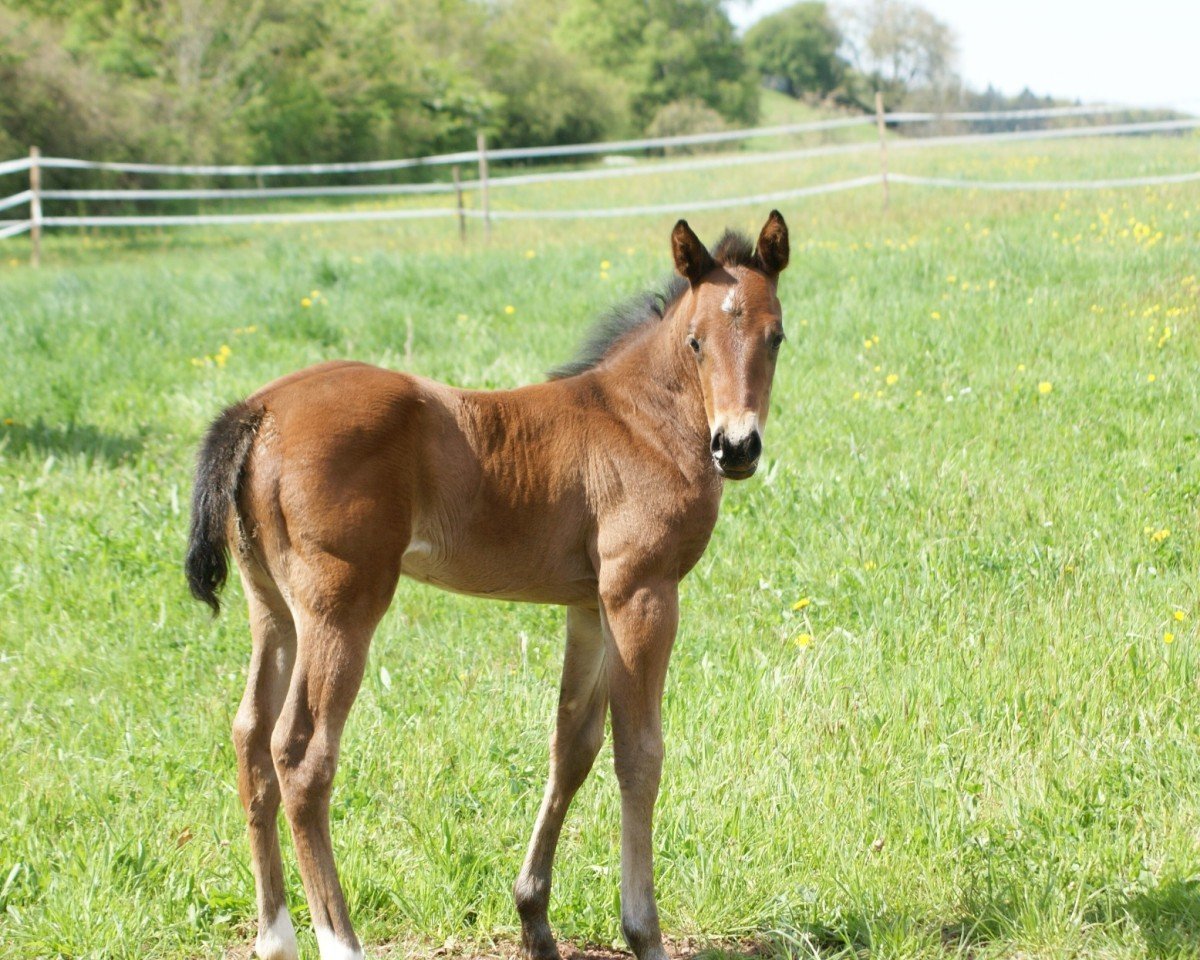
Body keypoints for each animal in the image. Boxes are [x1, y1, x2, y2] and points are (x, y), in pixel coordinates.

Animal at [185, 211, 790, 960]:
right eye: (697, 341)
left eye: (776, 335)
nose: (736, 447)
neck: (639, 421)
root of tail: (258, 409)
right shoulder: (642, 594)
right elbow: (639, 754)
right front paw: (643, 932)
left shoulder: (589, 606)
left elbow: (572, 746)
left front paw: (535, 919)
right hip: (341, 607)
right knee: (300, 754)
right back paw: (339, 939)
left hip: (272, 608)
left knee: (248, 737)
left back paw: (275, 936)